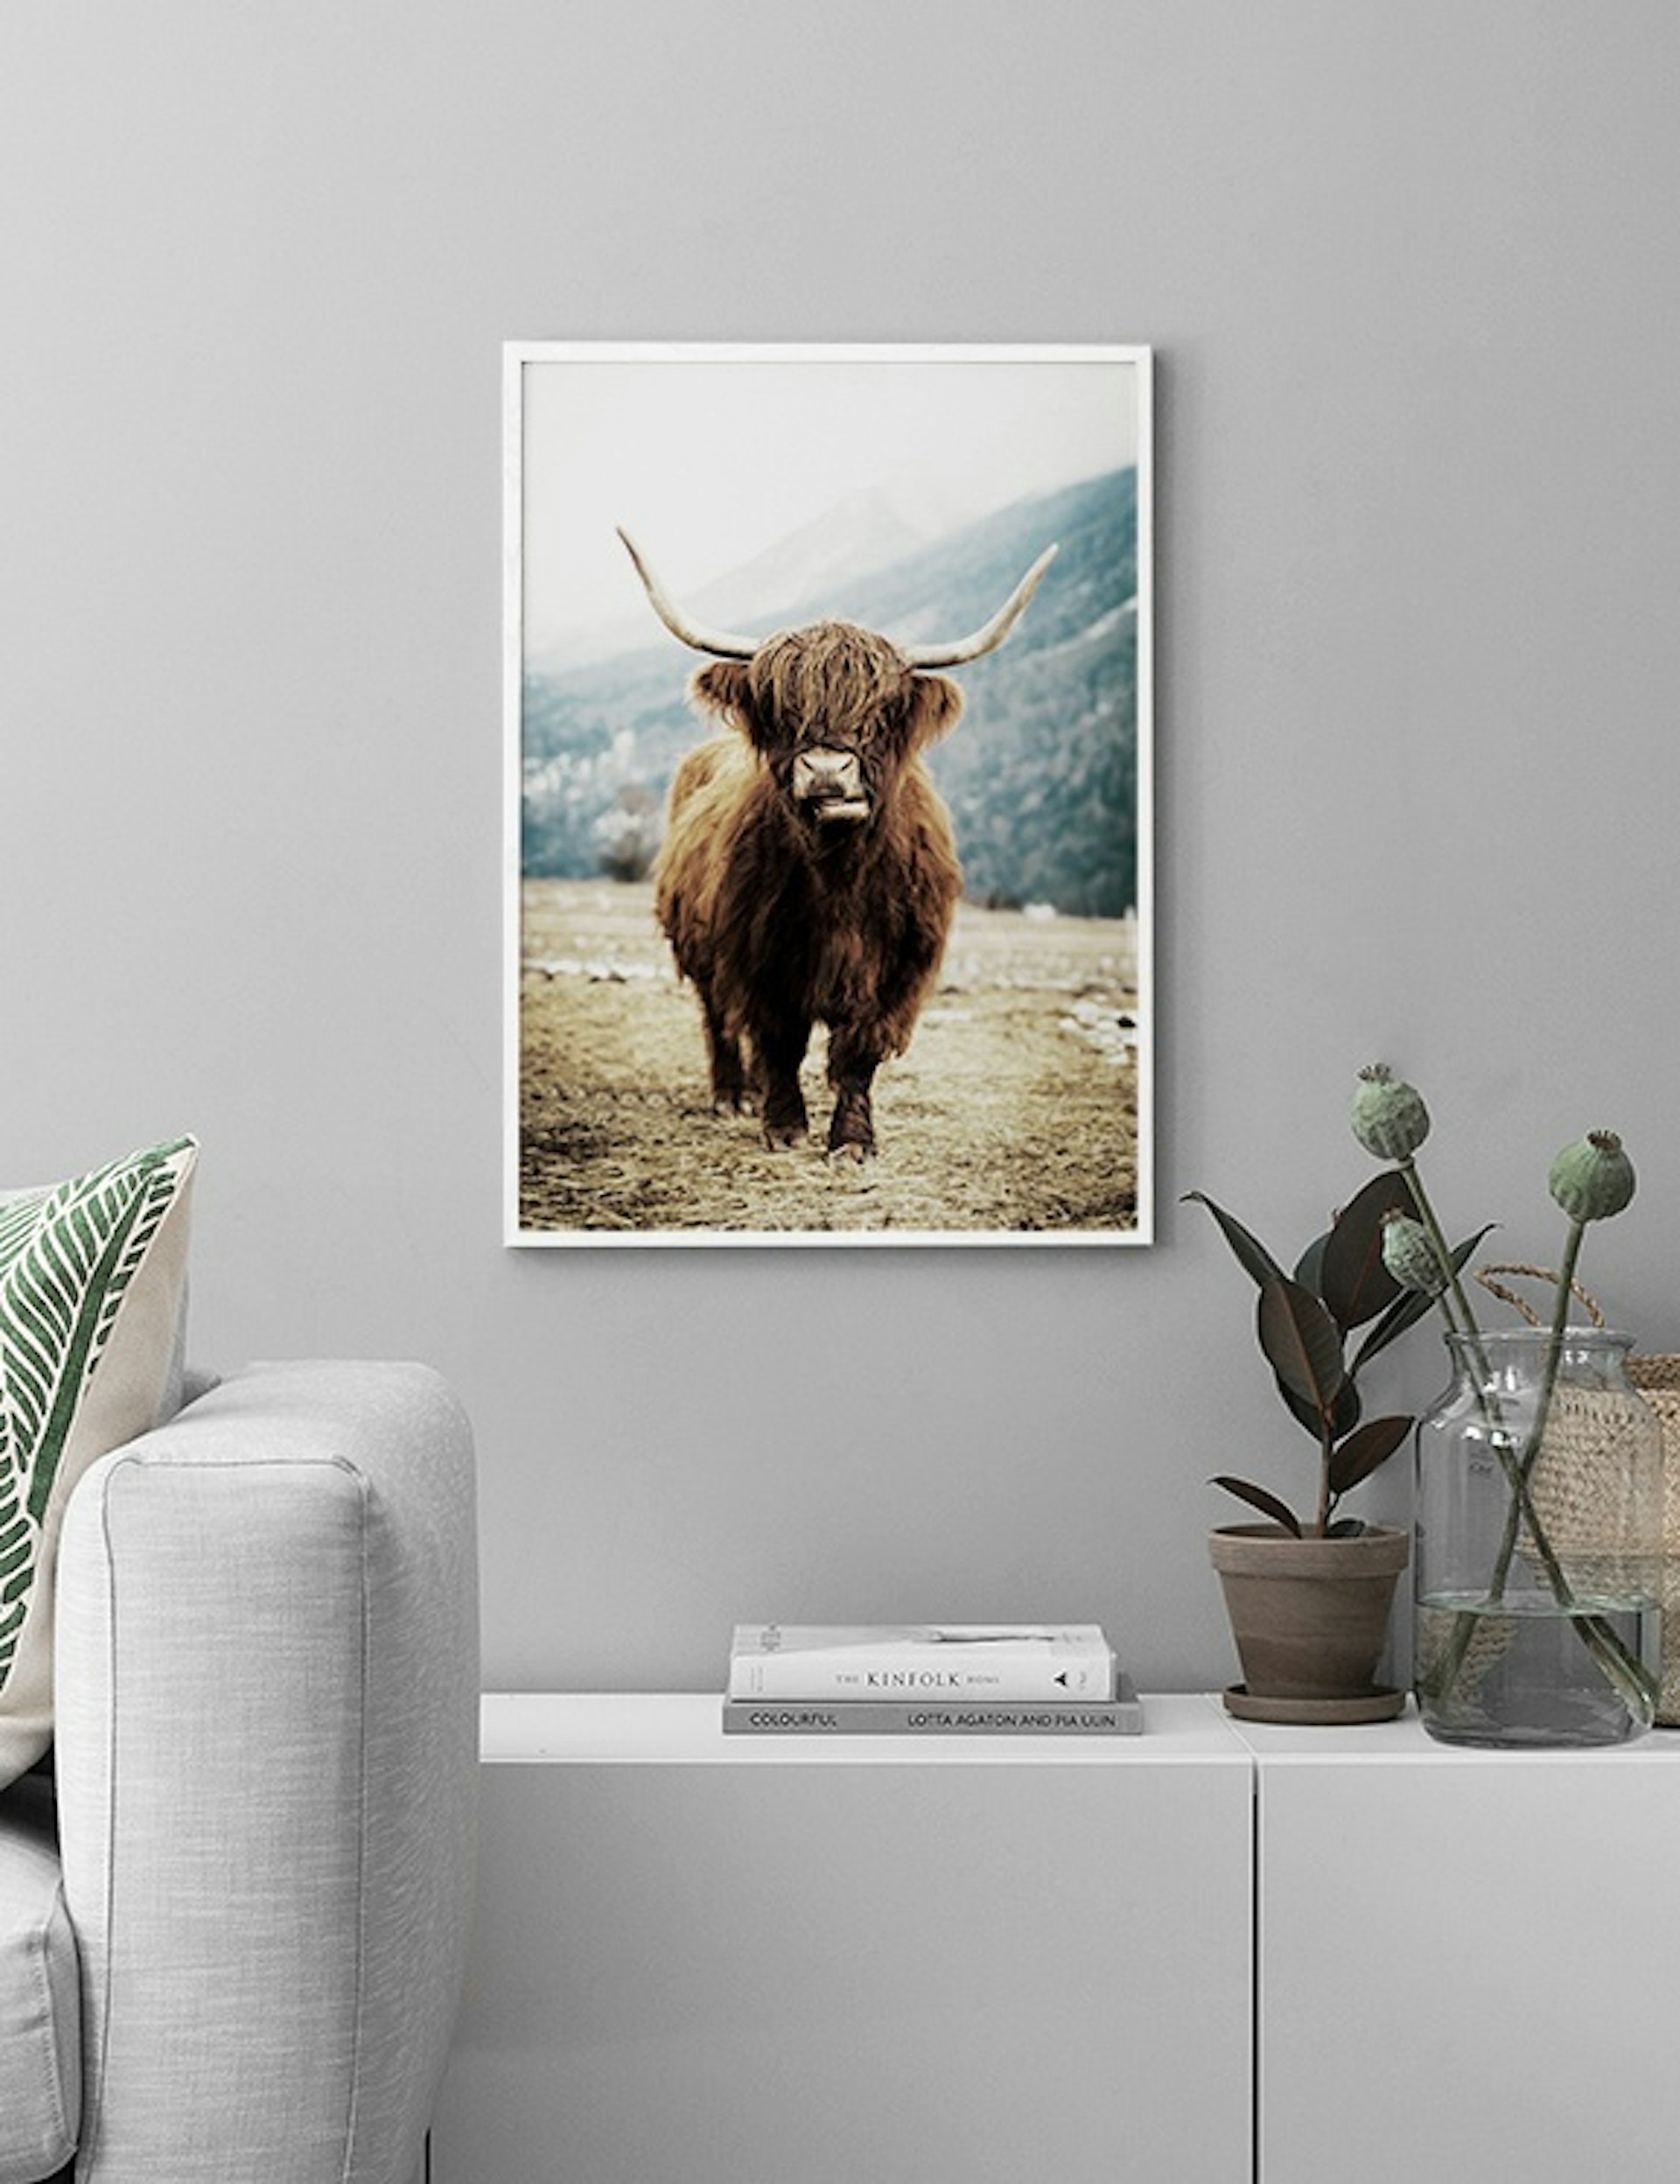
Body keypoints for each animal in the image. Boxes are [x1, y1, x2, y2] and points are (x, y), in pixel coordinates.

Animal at [618, 527, 1057, 1161]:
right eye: (779, 709)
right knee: (719, 1017)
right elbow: (778, 1039)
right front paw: (783, 1127)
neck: (840, 878)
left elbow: (857, 1053)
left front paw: (851, 1140)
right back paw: (733, 1095)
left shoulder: (898, 969)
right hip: (698, 947)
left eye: (881, 710)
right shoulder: (760, 956)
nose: (827, 772)